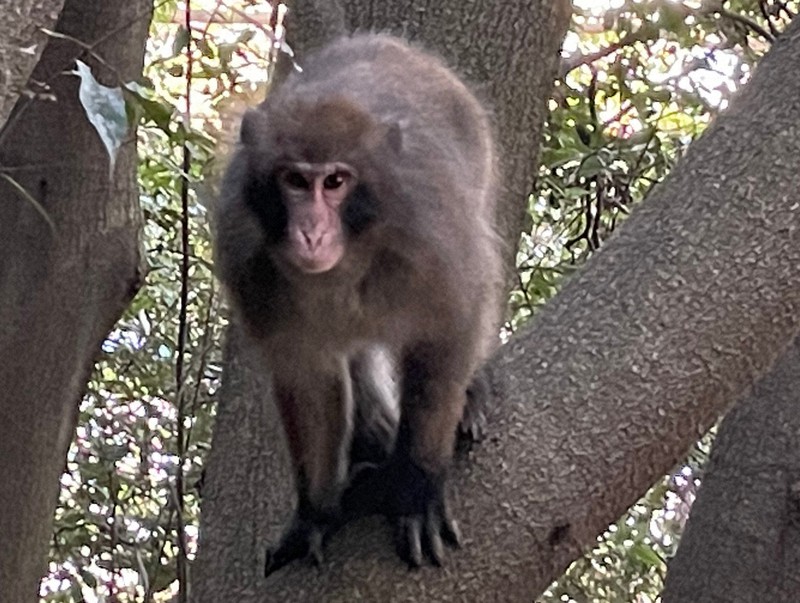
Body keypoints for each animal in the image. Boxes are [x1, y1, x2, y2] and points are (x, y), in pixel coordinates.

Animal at [213, 33, 503, 574]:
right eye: (294, 181)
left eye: (335, 182)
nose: (310, 232)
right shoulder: (247, 258)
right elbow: (308, 375)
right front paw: (314, 514)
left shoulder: (431, 238)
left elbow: (450, 328)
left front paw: (416, 488)